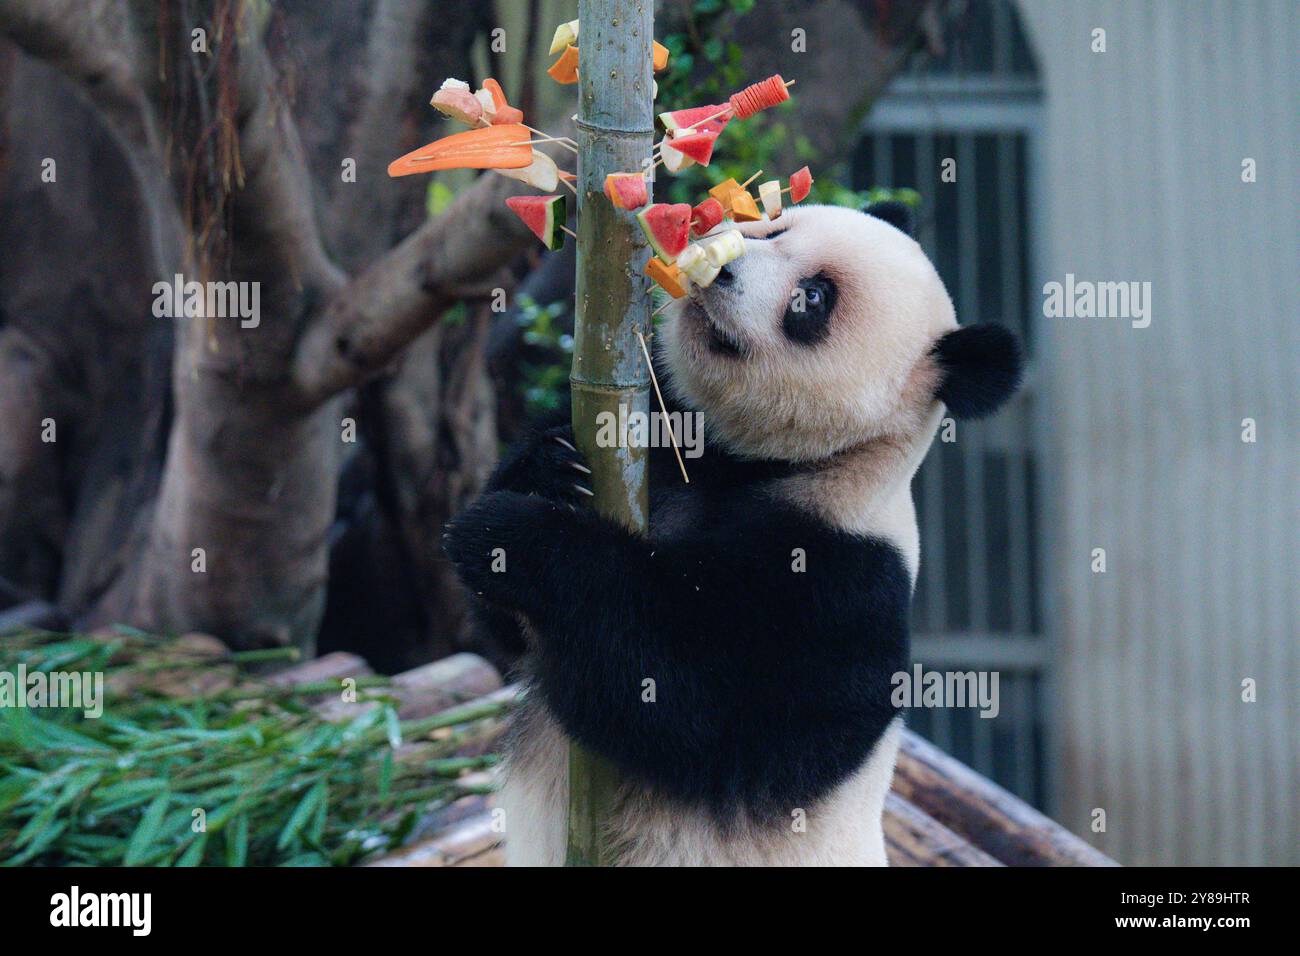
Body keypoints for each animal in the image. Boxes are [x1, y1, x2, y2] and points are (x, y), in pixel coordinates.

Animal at [443, 201, 1023, 866]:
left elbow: (705, 717)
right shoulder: (669, 444)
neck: (767, 464)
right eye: (773, 228)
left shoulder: (844, 580)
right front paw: (551, 471)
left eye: (813, 298)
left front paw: (516, 541)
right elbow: (511, 639)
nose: (719, 269)